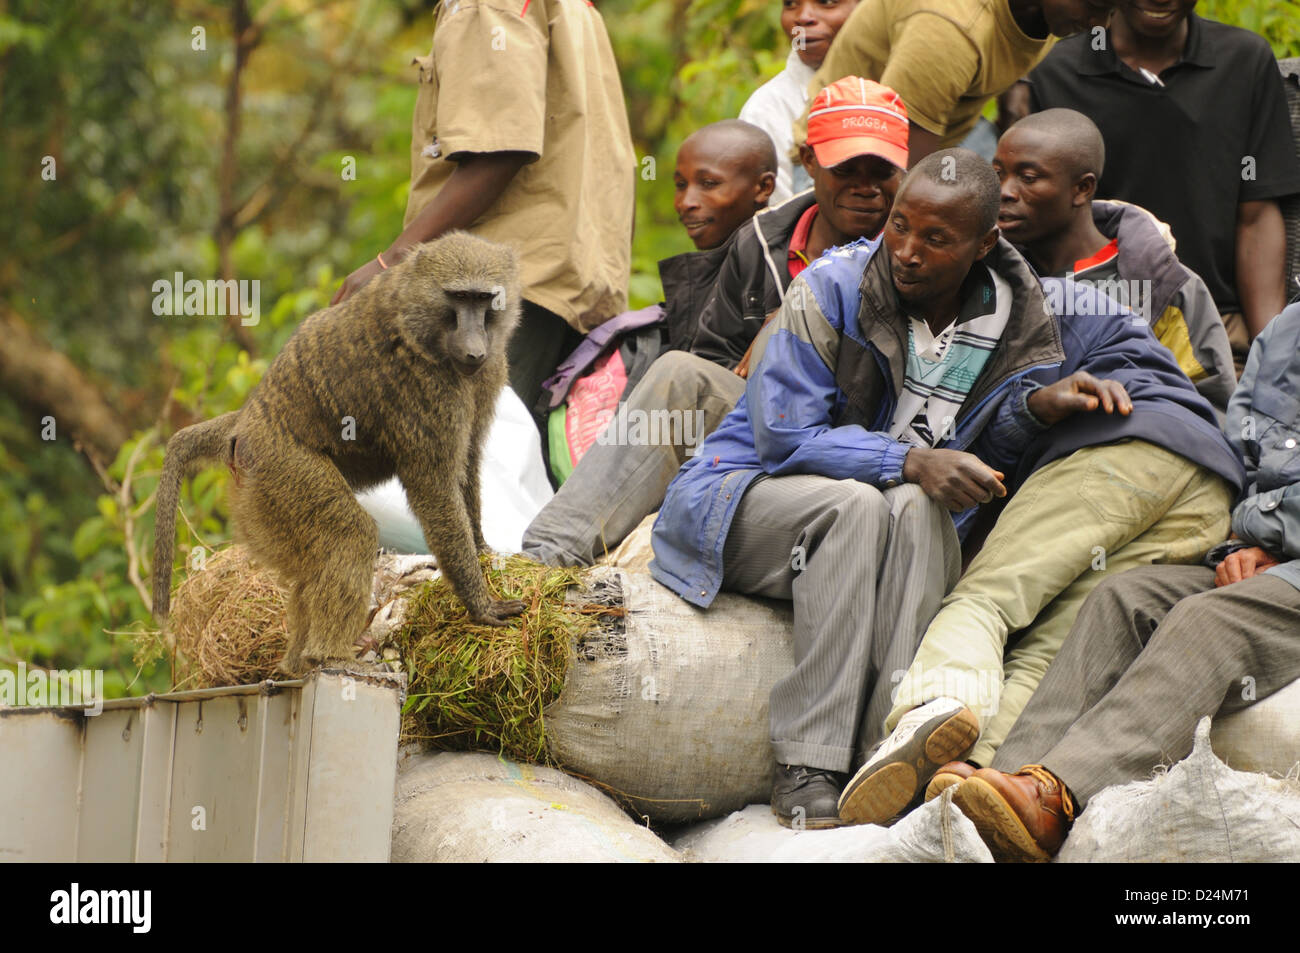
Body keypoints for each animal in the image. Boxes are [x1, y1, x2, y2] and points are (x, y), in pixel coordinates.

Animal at [152, 231, 527, 675]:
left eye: (484, 300)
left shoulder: (488, 370)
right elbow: (435, 489)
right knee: (349, 533)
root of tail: (244, 422)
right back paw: (327, 654)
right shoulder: (425, 388)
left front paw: (483, 548)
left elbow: (467, 463)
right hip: (278, 468)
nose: (473, 349)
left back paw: (296, 664)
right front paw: (482, 604)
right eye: (459, 298)